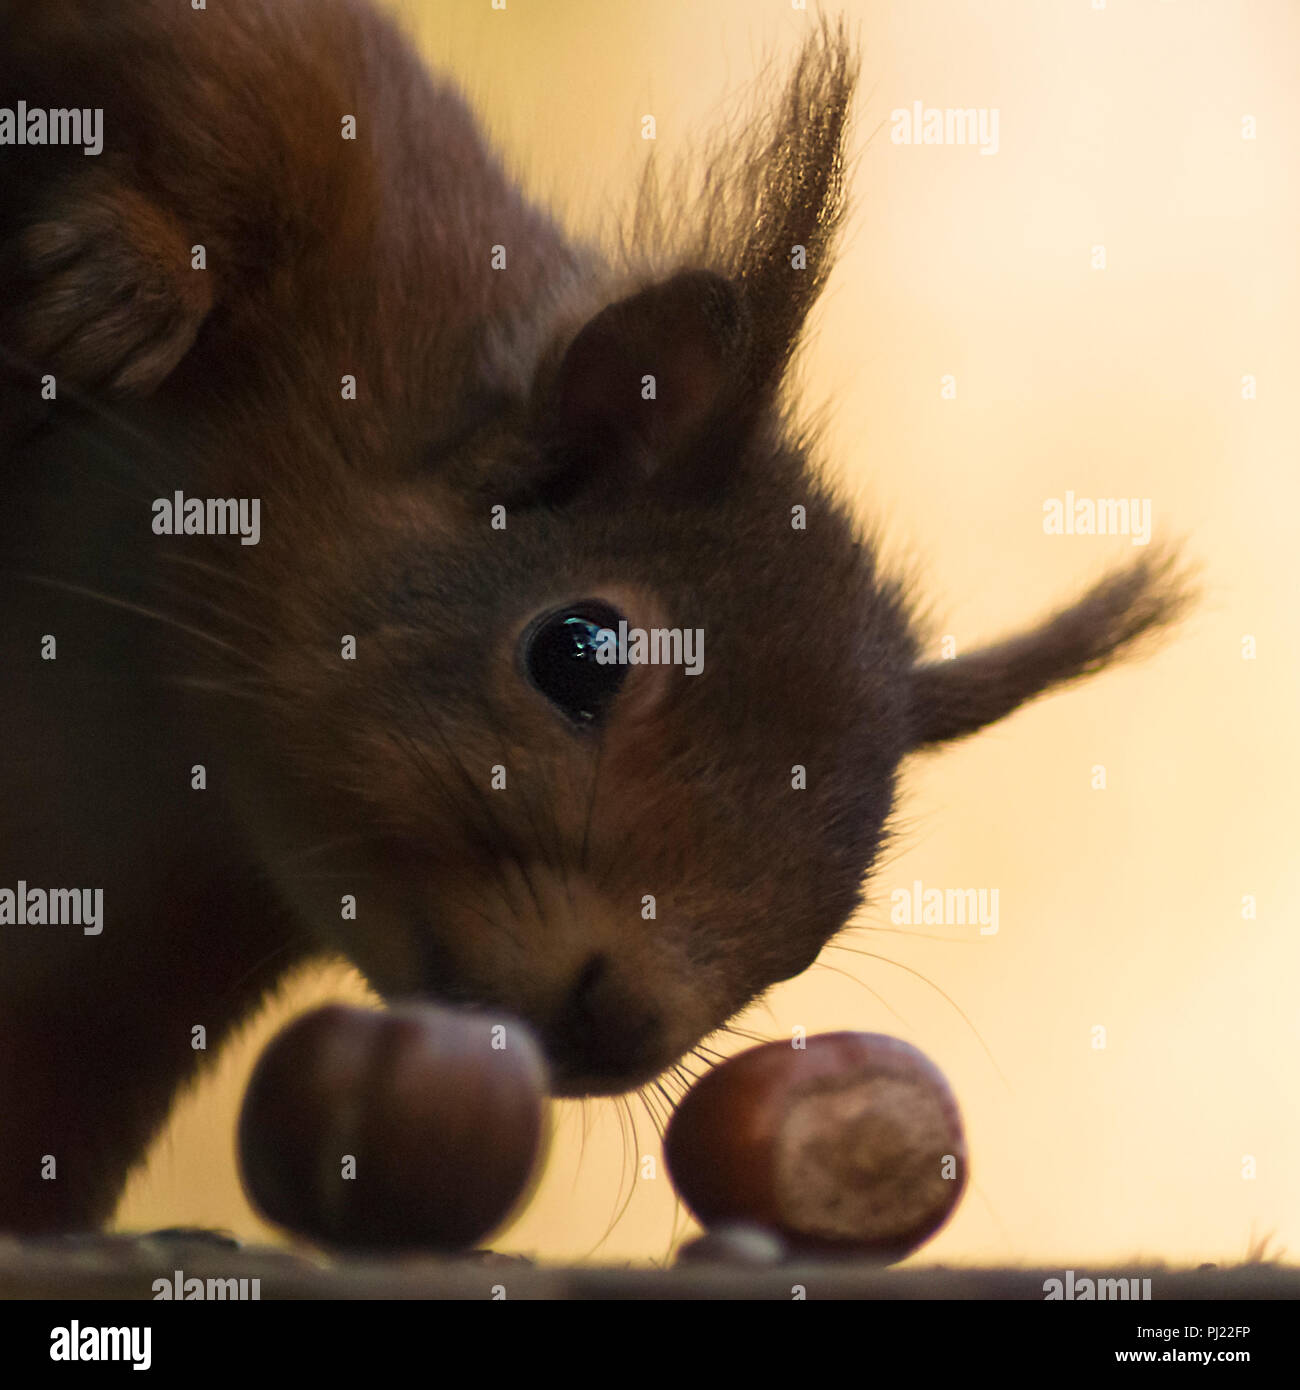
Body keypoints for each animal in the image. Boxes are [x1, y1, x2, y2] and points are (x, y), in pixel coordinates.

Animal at [0, 0, 1190, 1233]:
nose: (616, 1026)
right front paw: (133, 273)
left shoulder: (125, 962)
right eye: (578, 654)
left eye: (832, 914)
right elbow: (227, 83)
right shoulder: (357, 171)